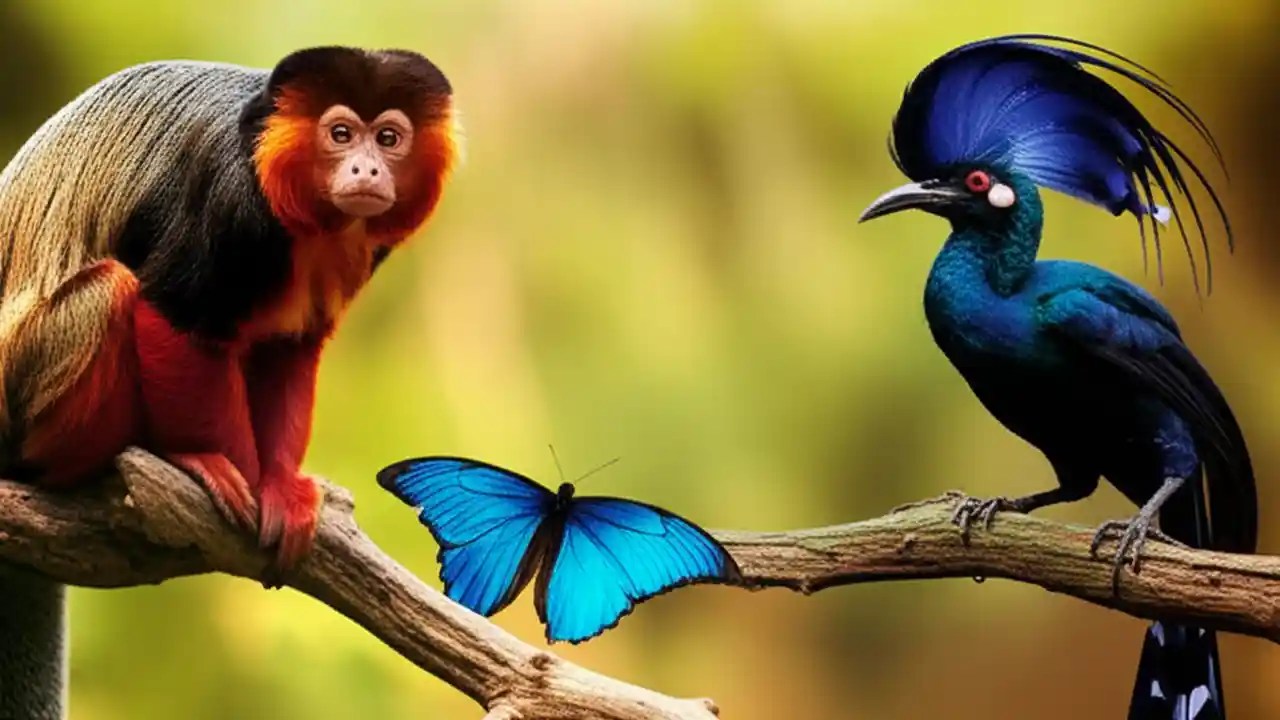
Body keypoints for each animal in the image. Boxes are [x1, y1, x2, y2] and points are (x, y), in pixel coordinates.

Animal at [0, 47, 460, 718]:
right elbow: (168, 314)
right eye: (340, 134)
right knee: (114, 288)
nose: (367, 168)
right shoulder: (233, 207)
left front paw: (280, 488)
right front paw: (212, 463)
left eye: (389, 138)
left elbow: (286, 351)